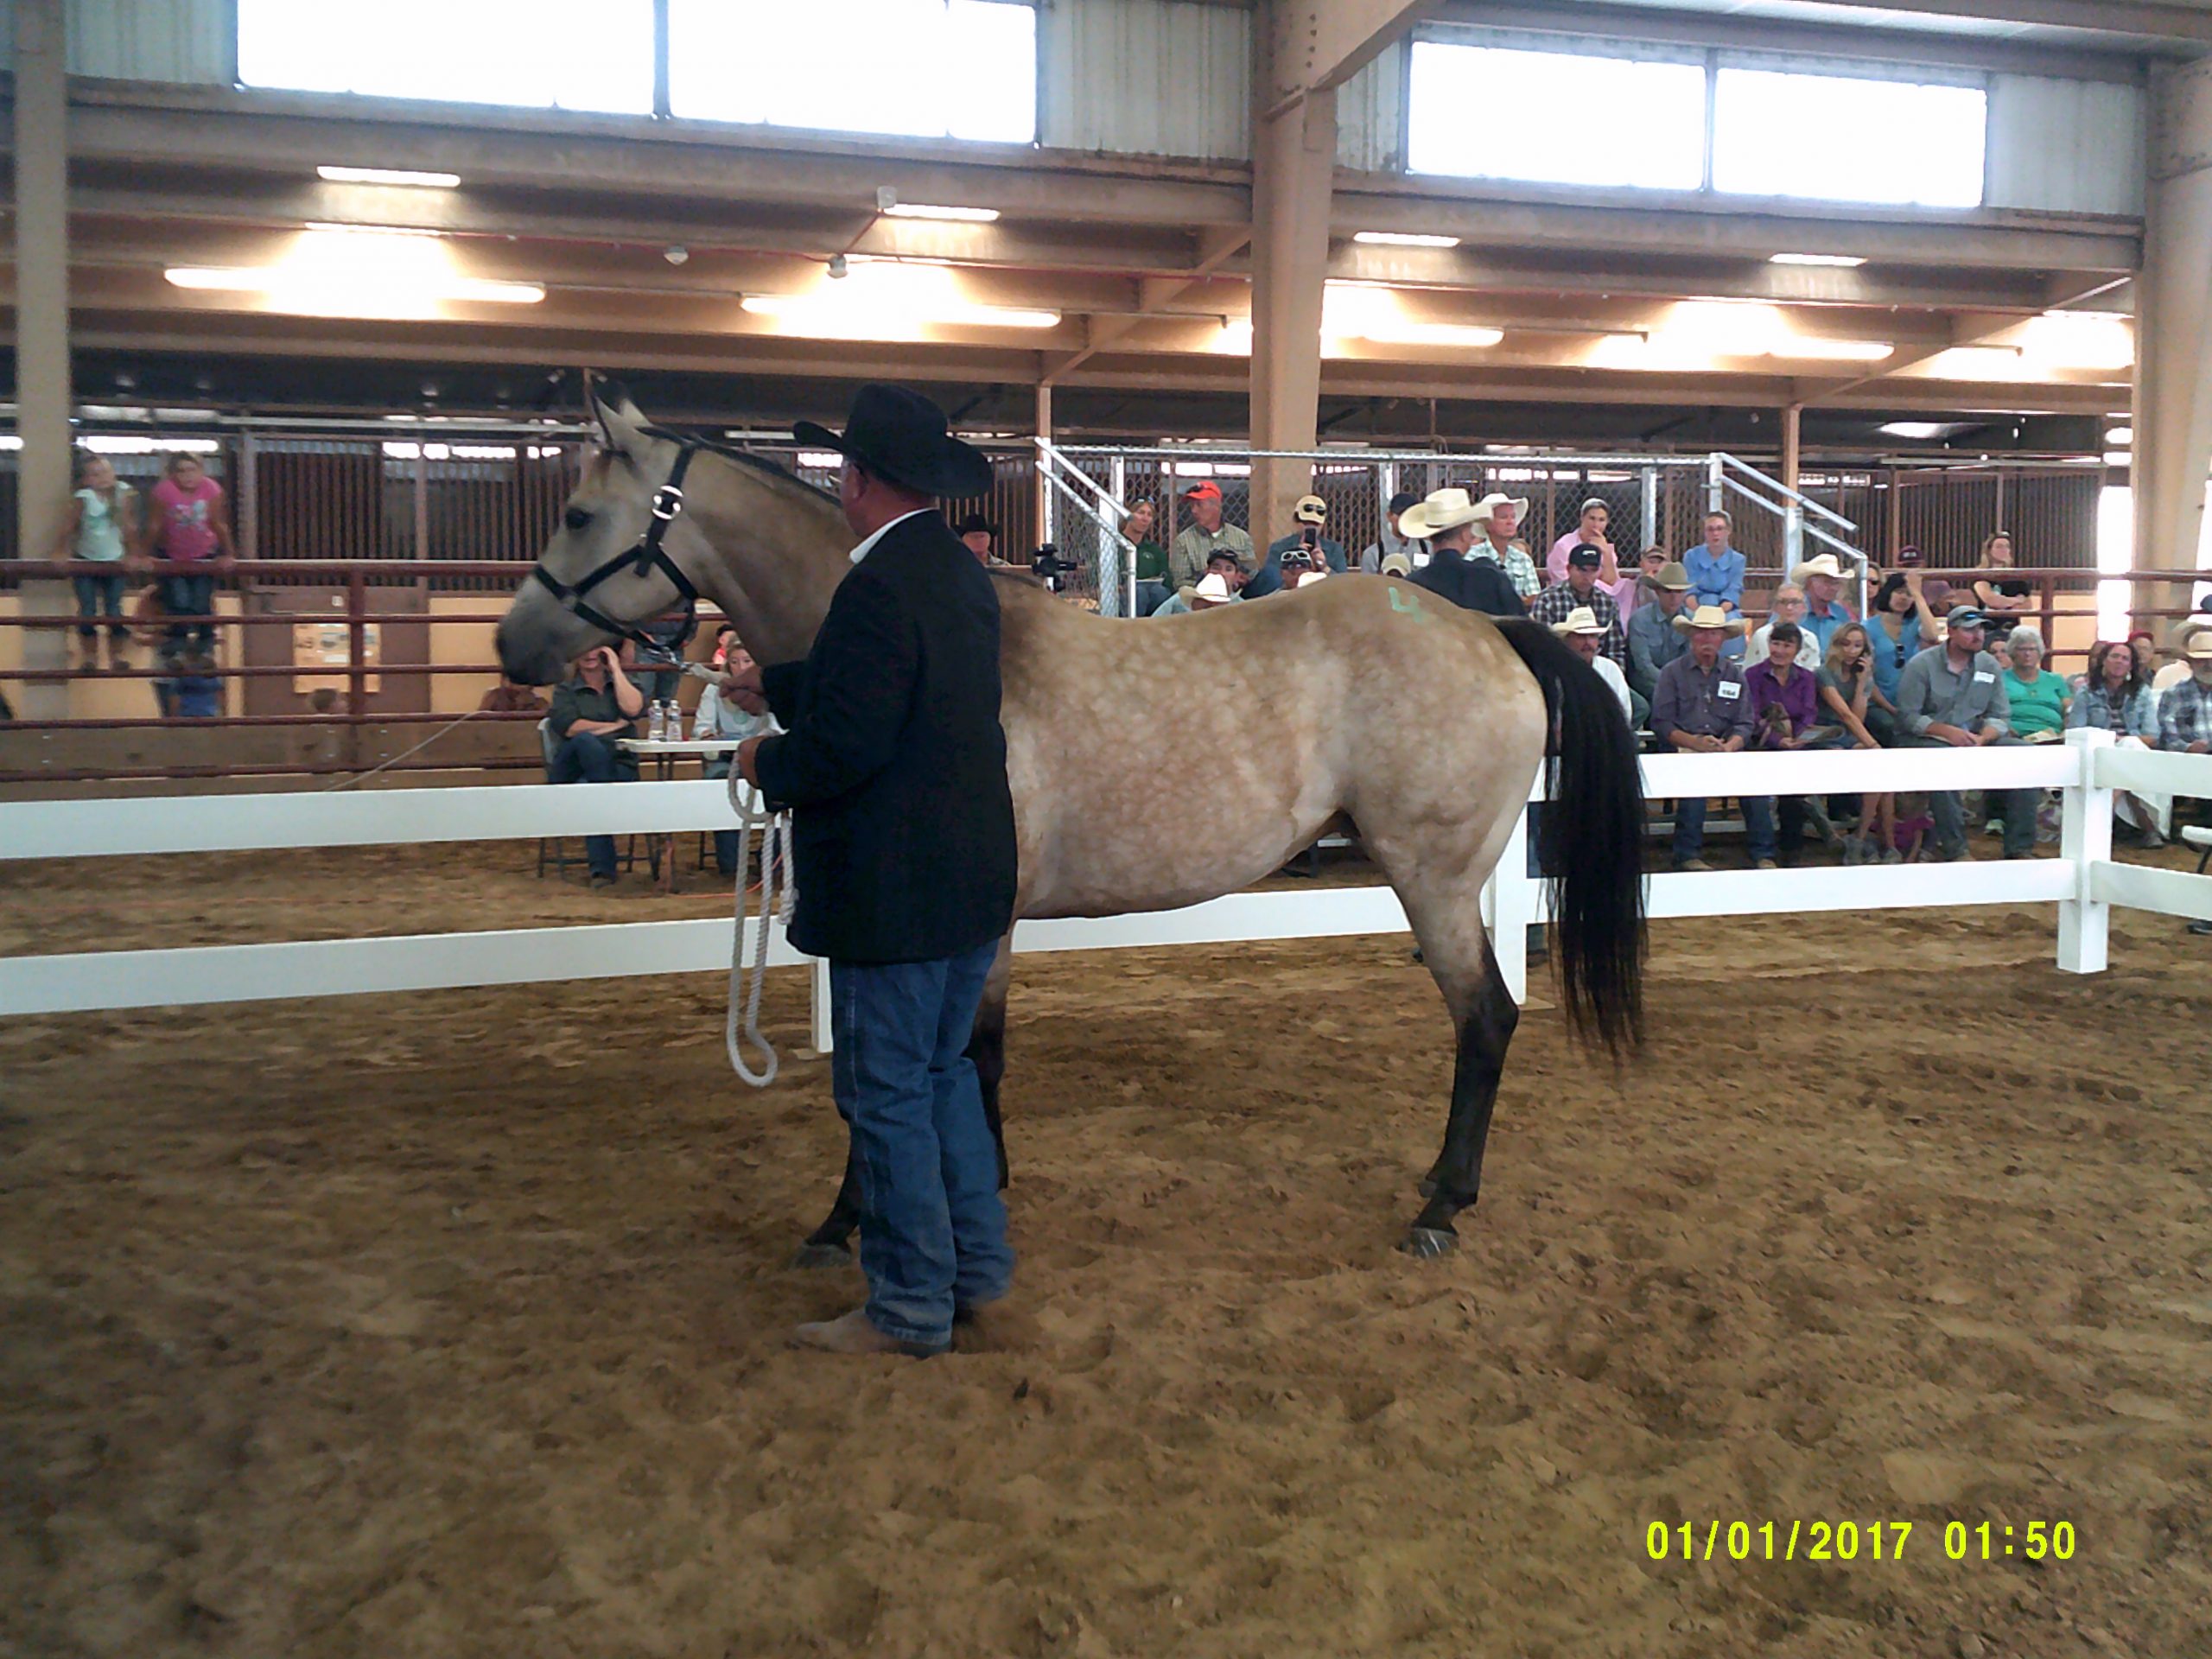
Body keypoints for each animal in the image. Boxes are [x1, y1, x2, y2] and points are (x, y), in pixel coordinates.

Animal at [496, 386, 1647, 1259]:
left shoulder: (944, 924)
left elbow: (927, 1068)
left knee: (1485, 1019)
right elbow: (951, 1062)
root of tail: (1493, 630)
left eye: (581, 517)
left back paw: (1440, 1206)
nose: (513, 644)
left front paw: (866, 1219)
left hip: (1433, 878)